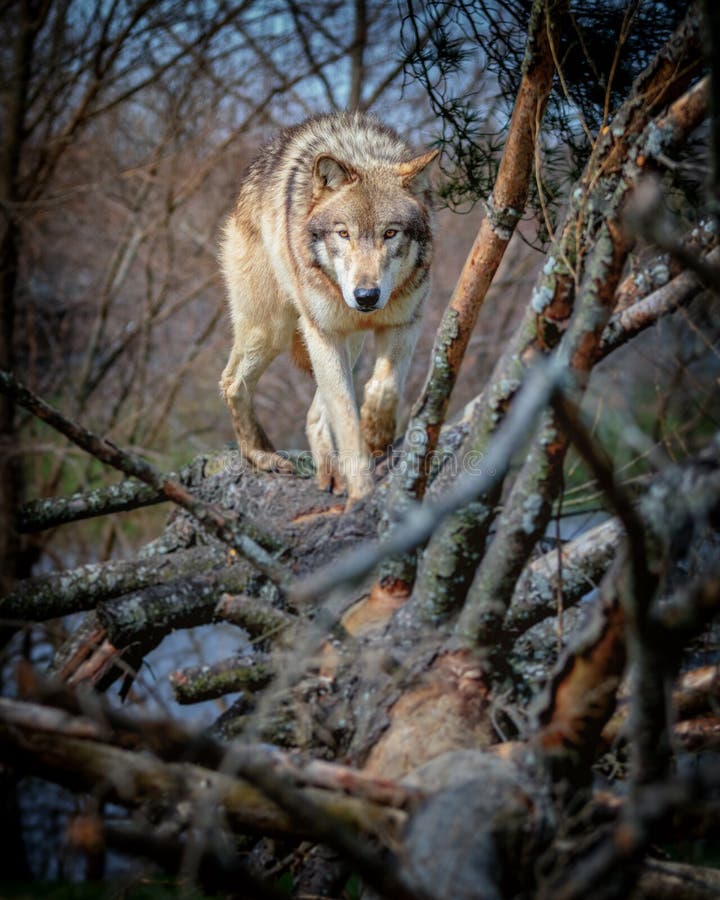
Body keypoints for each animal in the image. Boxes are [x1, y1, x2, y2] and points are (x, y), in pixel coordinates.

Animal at [219, 111, 437, 504]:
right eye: (343, 233)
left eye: (390, 233)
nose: (366, 296)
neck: (361, 153)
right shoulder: (323, 331)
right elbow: (346, 419)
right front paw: (362, 492)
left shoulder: (405, 323)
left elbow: (384, 387)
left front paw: (376, 432)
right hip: (273, 330)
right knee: (233, 383)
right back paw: (262, 457)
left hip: (349, 342)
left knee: (313, 413)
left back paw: (328, 472)